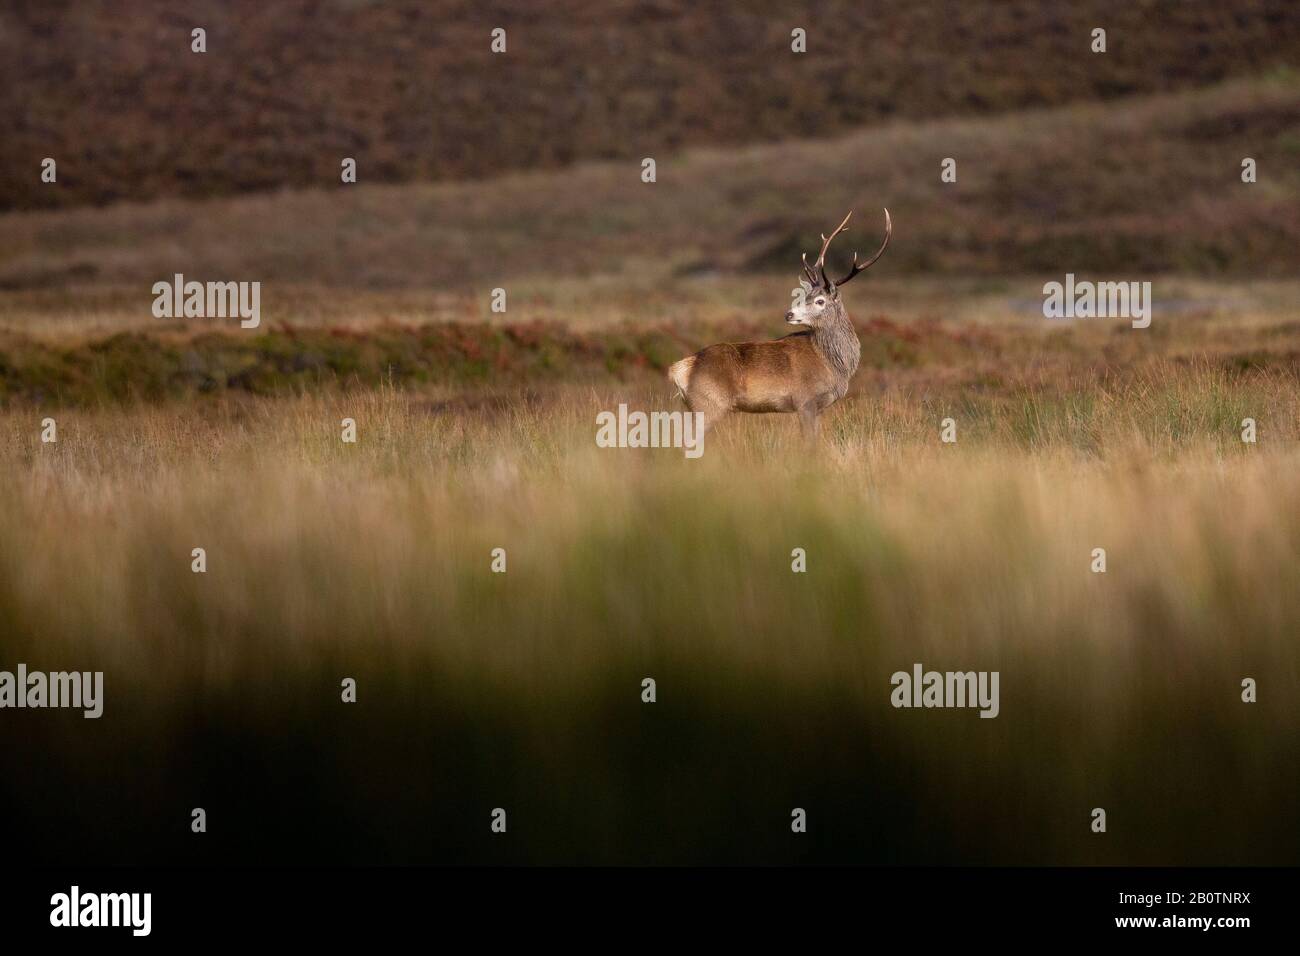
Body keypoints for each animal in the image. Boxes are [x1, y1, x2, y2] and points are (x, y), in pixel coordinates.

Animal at [668, 208, 891, 440]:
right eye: (808, 296)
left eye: (819, 300)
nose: (789, 313)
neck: (836, 366)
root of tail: (680, 370)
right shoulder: (805, 401)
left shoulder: (817, 408)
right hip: (709, 404)